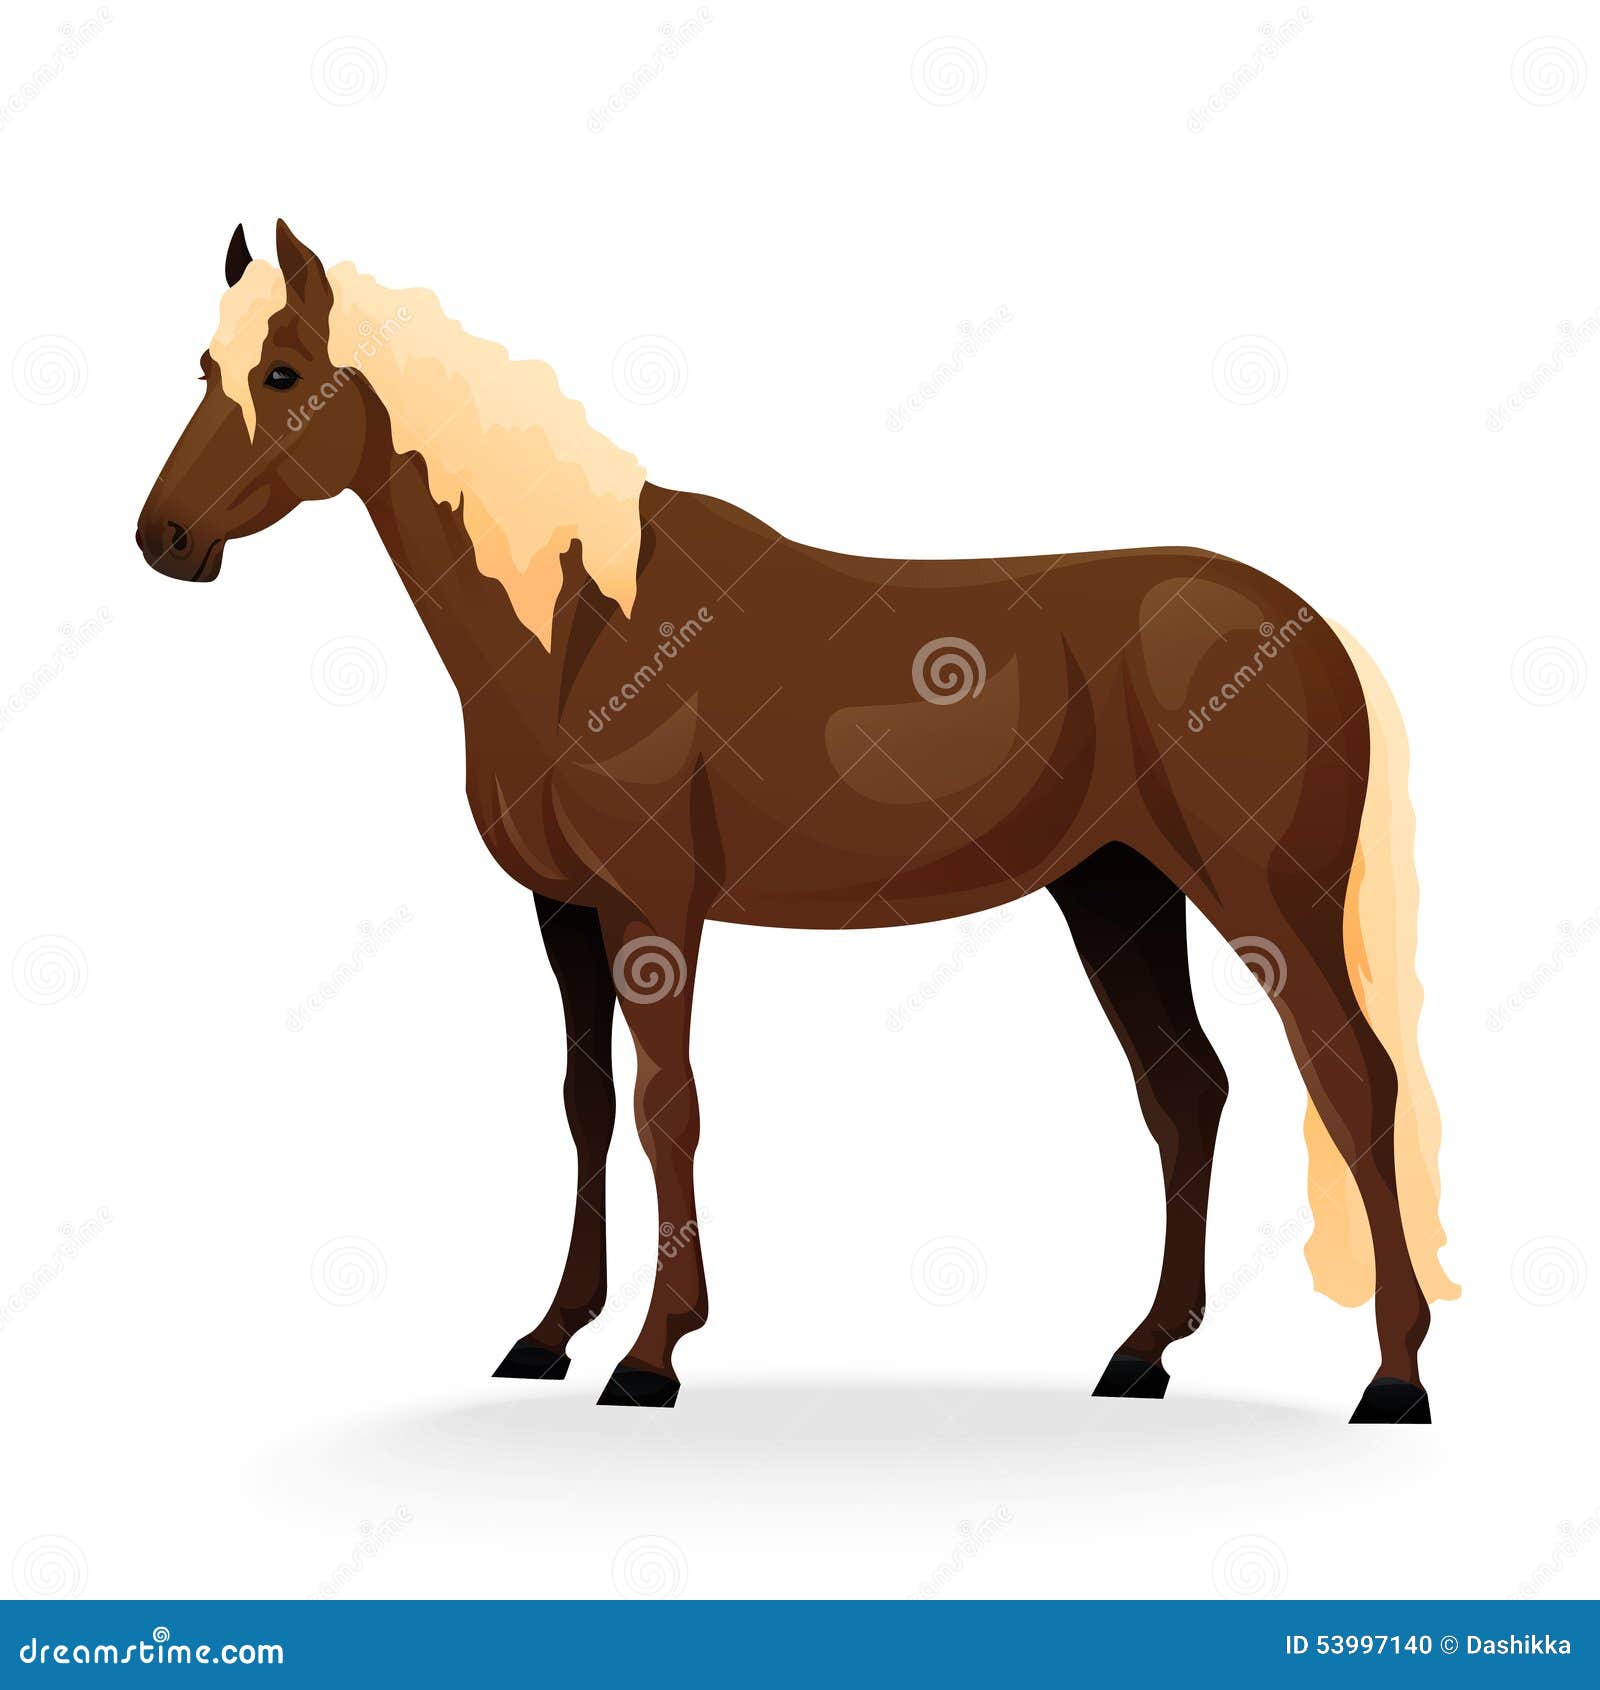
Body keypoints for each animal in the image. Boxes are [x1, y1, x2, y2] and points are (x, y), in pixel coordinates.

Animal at [136, 222, 1457, 1421]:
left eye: (283, 375)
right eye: (204, 368)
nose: (164, 540)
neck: (582, 633)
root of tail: (1306, 628)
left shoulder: (652, 910)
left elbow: (666, 1108)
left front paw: (651, 1357)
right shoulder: (562, 910)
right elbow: (585, 1105)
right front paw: (550, 1334)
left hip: (1260, 897)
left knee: (1354, 1082)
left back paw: (1392, 1378)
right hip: (1116, 892)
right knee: (1185, 1090)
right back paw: (1141, 1356)